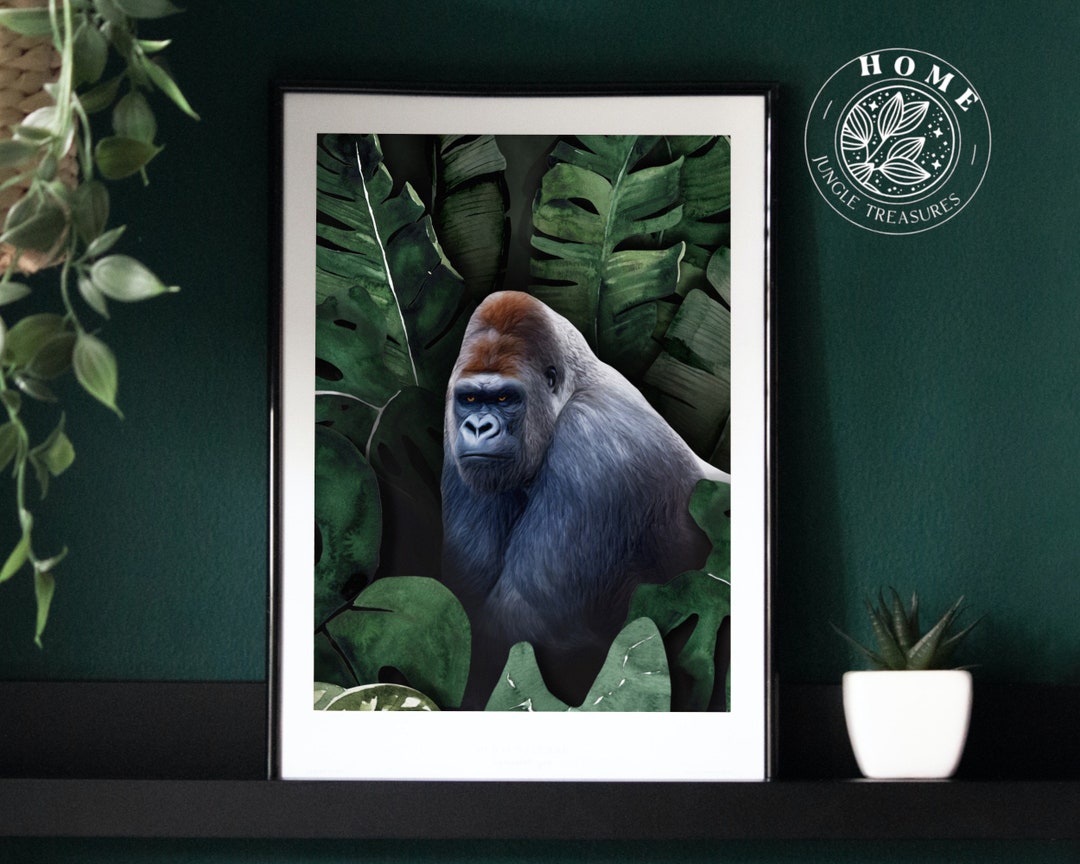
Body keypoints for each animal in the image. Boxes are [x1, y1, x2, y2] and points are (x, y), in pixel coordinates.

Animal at [440, 291, 728, 706]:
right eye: (471, 398)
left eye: (505, 397)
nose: (478, 427)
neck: (574, 387)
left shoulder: (593, 444)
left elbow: (519, 628)